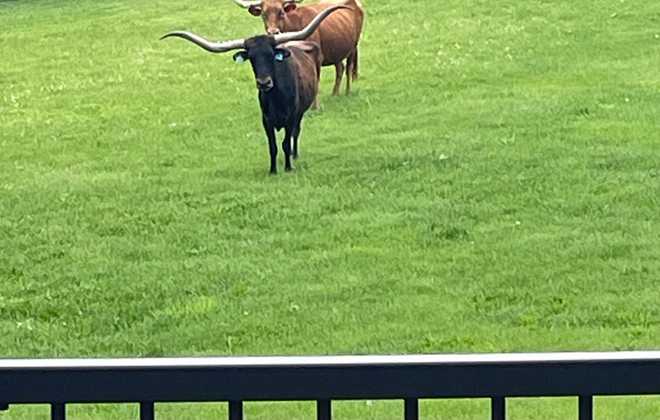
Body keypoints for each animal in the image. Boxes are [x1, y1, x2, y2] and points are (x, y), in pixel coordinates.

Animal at [162, 5, 348, 174]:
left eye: (271, 54)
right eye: (251, 58)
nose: (264, 83)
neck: (276, 98)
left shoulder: (291, 117)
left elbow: (286, 143)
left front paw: (288, 167)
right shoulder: (266, 121)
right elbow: (272, 146)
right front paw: (273, 170)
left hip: (301, 112)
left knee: (296, 133)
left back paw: (294, 156)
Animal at [232, 0, 364, 104]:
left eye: (281, 12)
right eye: (263, 14)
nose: (273, 32)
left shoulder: (317, 56)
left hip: (353, 47)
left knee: (349, 68)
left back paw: (347, 92)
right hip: (336, 52)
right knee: (340, 68)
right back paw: (335, 93)